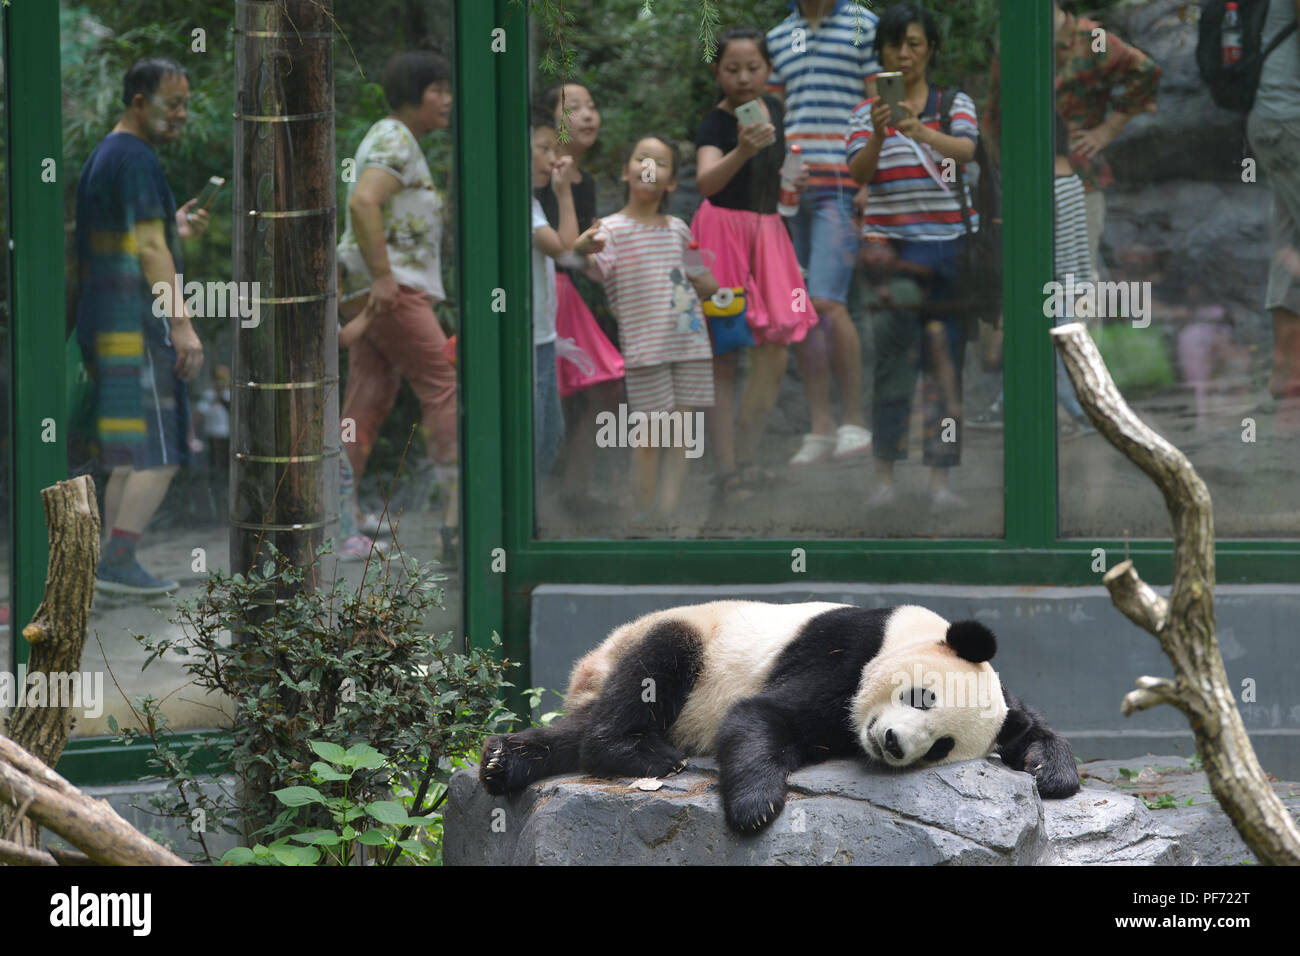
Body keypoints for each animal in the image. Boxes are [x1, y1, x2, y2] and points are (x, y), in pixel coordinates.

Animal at [479, 601, 1080, 833]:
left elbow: (1028, 725)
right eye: (923, 697)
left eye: (942, 747)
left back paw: (502, 761)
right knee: (653, 669)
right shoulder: (847, 653)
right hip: (677, 640)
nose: (891, 742)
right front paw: (756, 806)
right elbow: (760, 714)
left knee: (576, 732)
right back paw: (641, 754)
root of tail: (587, 668)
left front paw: (1050, 771)